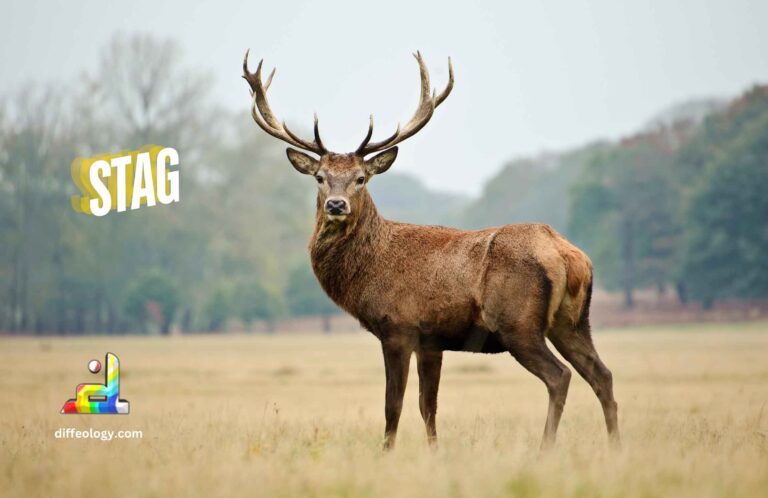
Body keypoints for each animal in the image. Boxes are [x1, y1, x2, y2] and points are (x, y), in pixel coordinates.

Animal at [242, 50, 620, 451]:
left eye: (361, 178)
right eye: (320, 177)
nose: (336, 204)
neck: (370, 269)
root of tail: (569, 255)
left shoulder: (398, 327)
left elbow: (393, 405)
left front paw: (387, 452)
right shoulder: (431, 340)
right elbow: (428, 406)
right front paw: (434, 451)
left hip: (518, 323)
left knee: (559, 376)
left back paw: (545, 448)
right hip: (573, 320)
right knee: (602, 374)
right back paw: (615, 445)